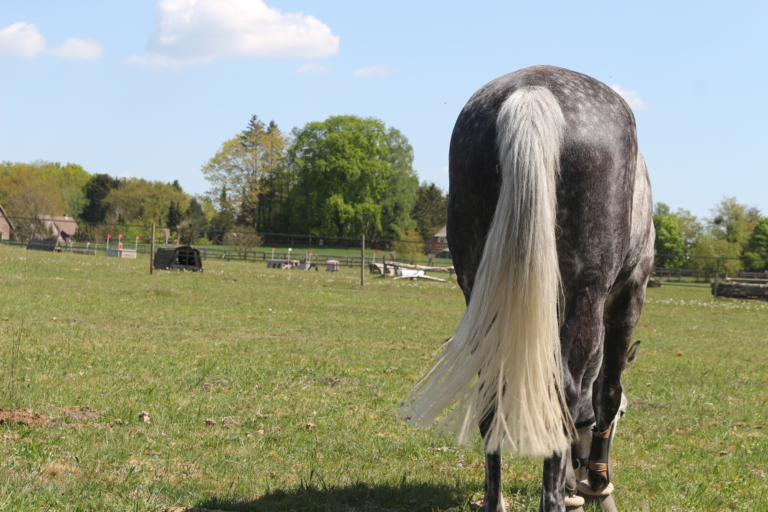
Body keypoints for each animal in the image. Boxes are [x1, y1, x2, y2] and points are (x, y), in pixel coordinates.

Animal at [401, 66, 654, 511]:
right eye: (627, 414)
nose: (582, 472)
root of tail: (533, 92)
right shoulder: (629, 293)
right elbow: (606, 392)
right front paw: (595, 485)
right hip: (587, 294)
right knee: (564, 391)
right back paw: (555, 497)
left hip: (481, 291)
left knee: (493, 391)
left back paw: (497, 501)